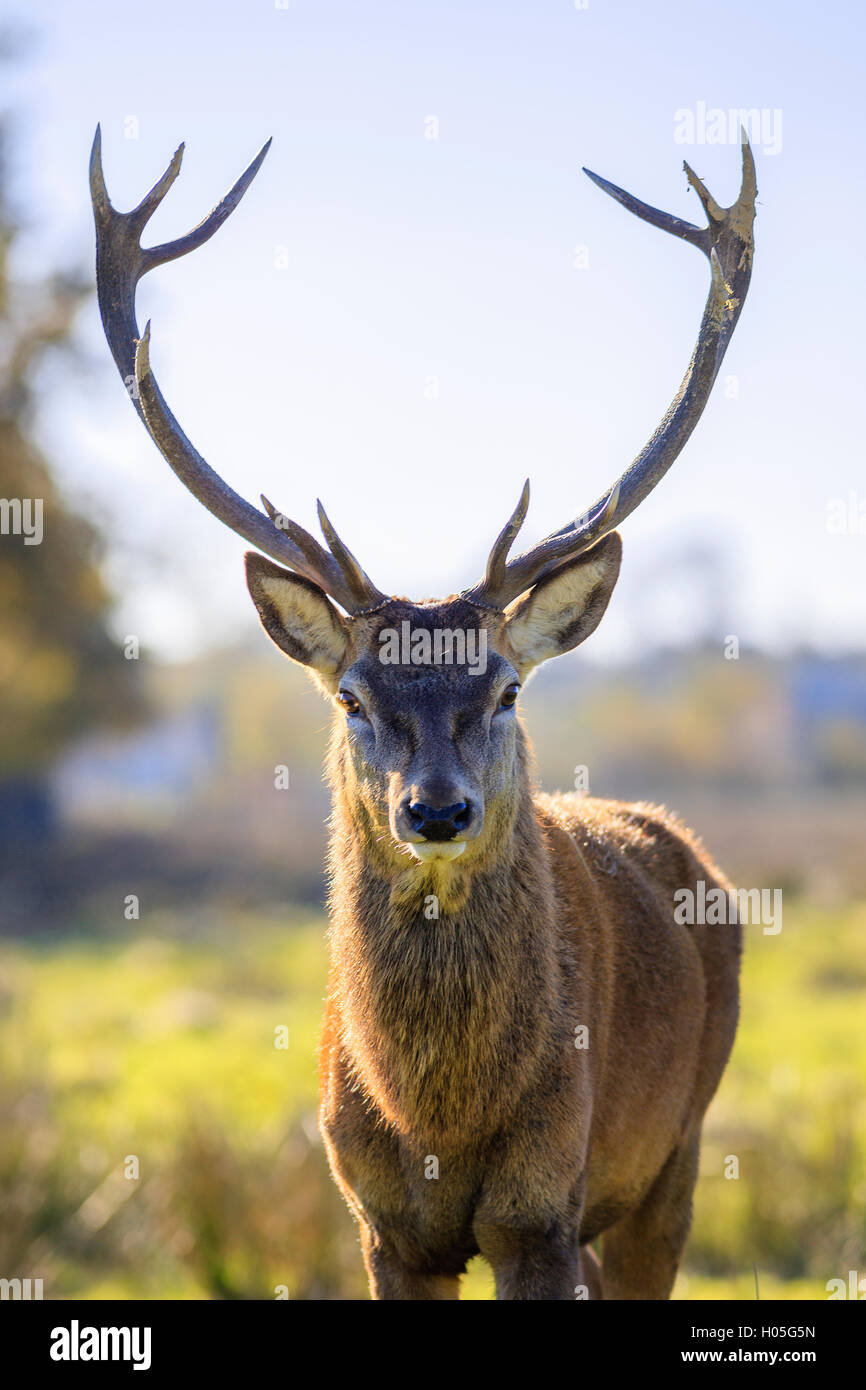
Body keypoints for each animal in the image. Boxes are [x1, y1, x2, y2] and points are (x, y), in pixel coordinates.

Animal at [90, 126, 755, 1300]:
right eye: (354, 695)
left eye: (506, 687)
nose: (435, 811)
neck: (436, 1117)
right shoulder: (379, 1221)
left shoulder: (543, 1203)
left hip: (672, 1150)